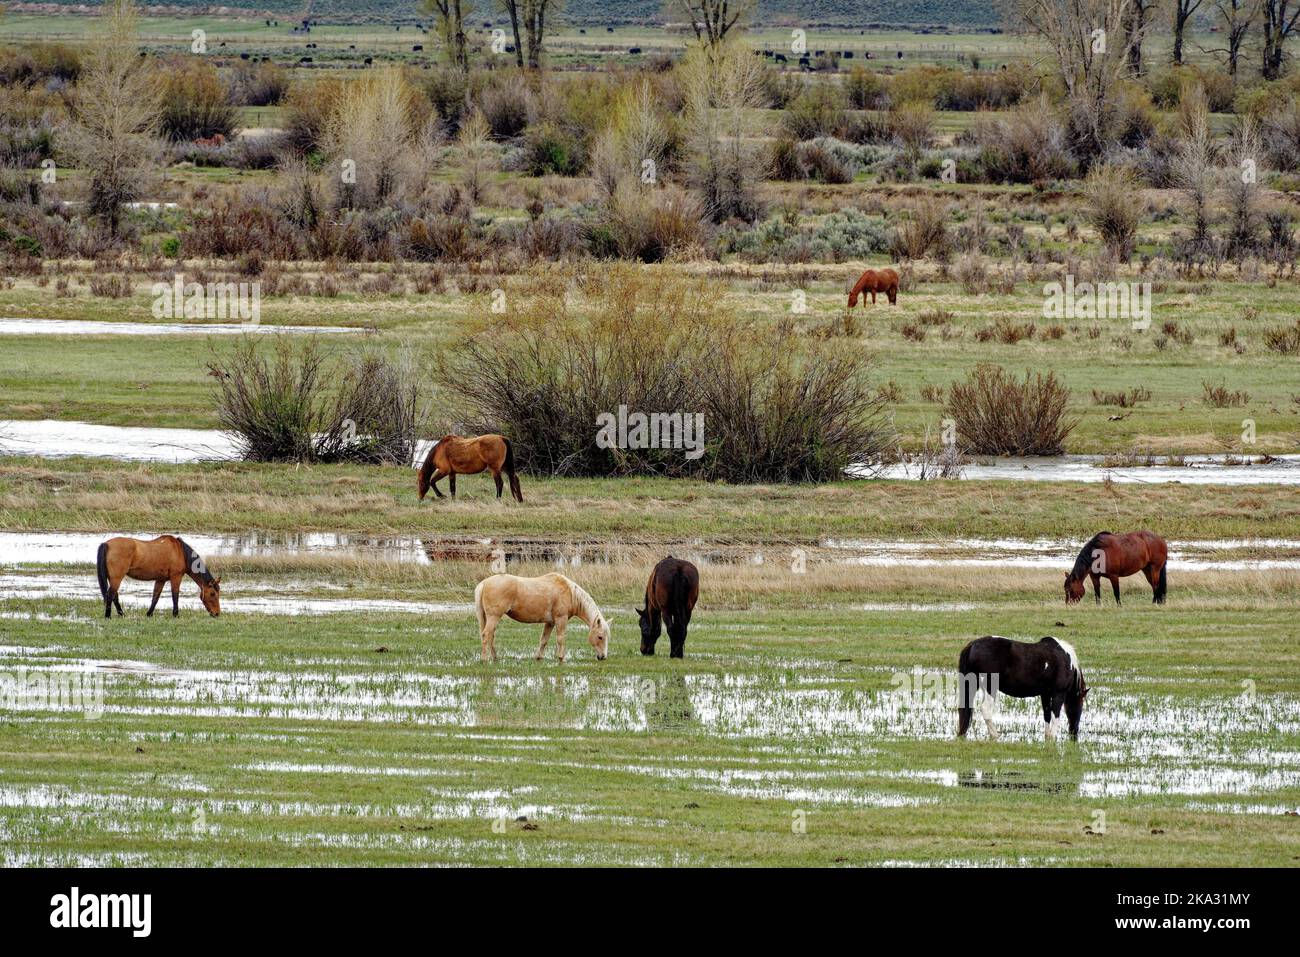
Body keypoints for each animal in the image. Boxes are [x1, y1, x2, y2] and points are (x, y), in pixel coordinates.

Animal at [474, 572, 610, 662]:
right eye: (600, 637)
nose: (603, 657)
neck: (569, 592)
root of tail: (484, 583)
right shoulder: (561, 619)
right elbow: (560, 639)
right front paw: (561, 658)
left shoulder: (550, 622)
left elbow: (544, 640)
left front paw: (538, 657)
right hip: (494, 617)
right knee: (486, 634)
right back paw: (484, 659)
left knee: (490, 635)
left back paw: (495, 657)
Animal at [957, 635, 1088, 741]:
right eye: (1081, 705)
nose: (1074, 733)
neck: (1065, 660)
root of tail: (972, 645)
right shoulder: (1058, 694)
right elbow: (1055, 714)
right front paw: (1053, 737)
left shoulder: (1045, 694)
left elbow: (1047, 714)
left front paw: (1047, 737)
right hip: (990, 688)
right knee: (985, 709)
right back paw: (995, 735)